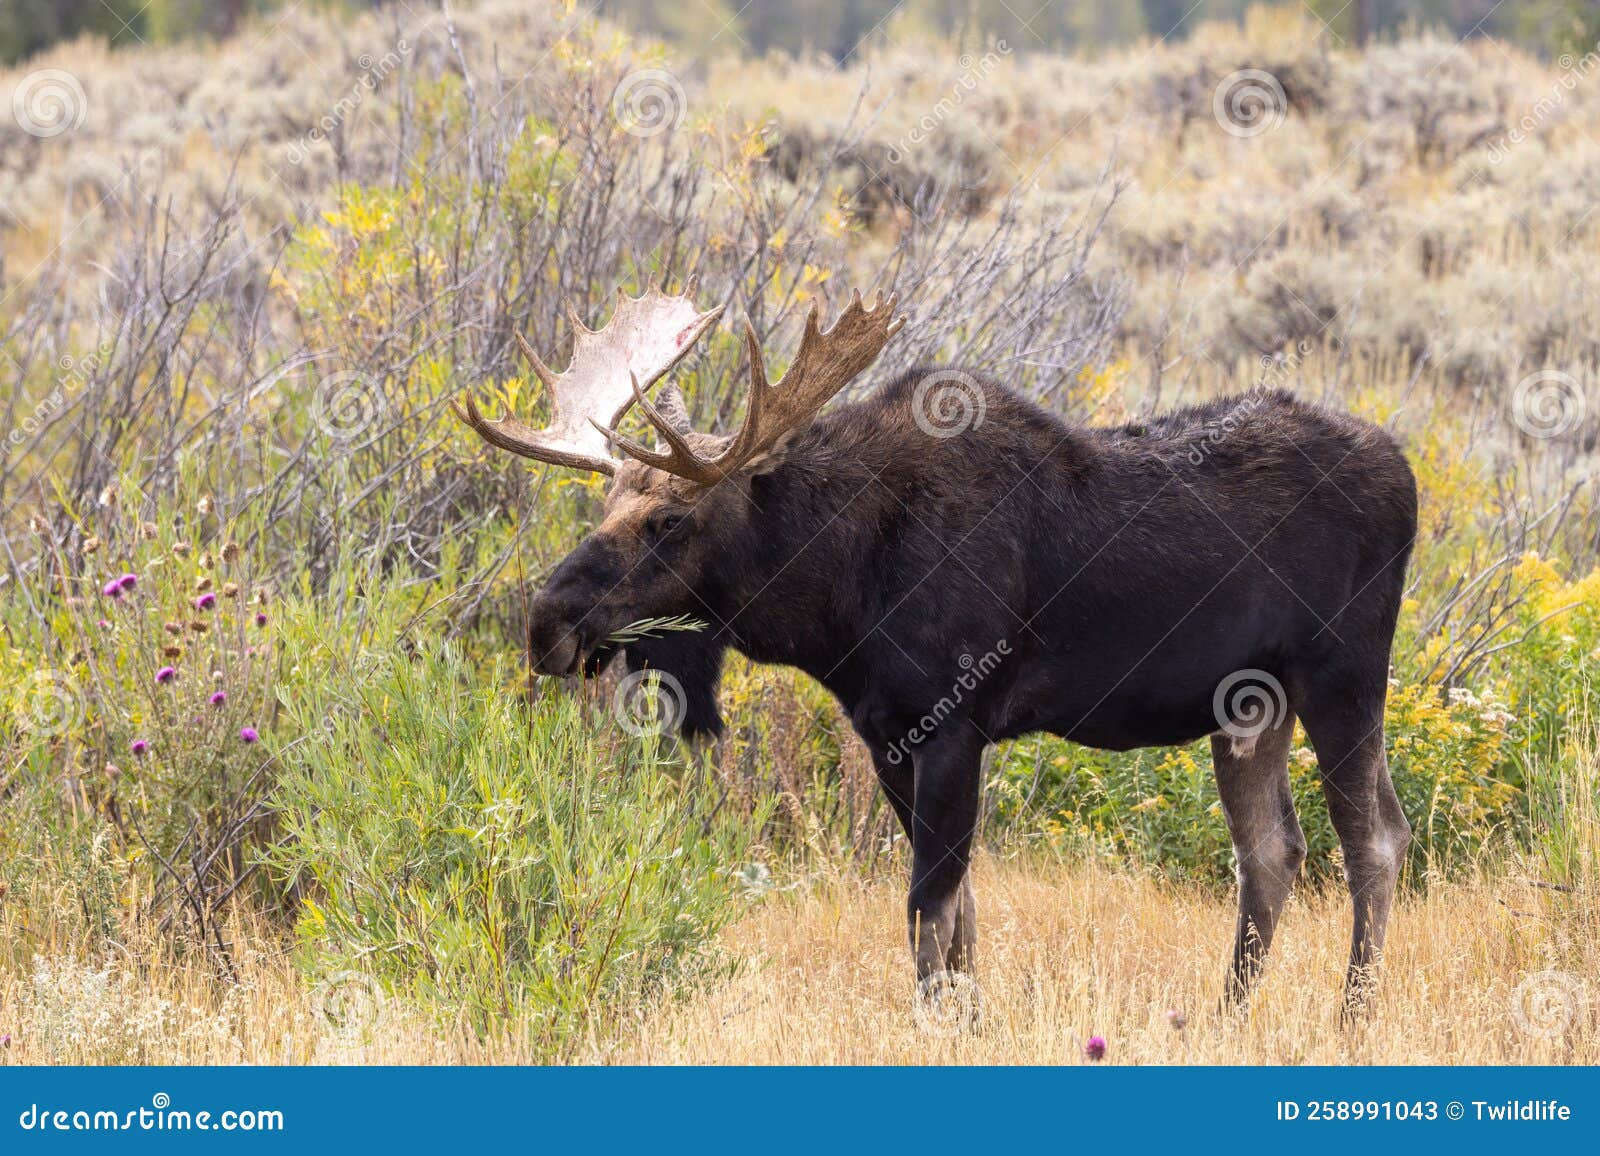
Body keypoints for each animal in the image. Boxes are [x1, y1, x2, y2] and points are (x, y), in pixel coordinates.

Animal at [454, 280, 1419, 1023]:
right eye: (605, 500)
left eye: (671, 519)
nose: (547, 623)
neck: (837, 592)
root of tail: (1407, 472)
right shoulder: (888, 735)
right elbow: (961, 914)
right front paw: (972, 1018)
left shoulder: (954, 725)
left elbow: (928, 904)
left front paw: (938, 1026)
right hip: (1249, 705)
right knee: (1273, 850)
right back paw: (1227, 1016)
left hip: (1343, 676)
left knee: (1374, 840)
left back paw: (1352, 1019)